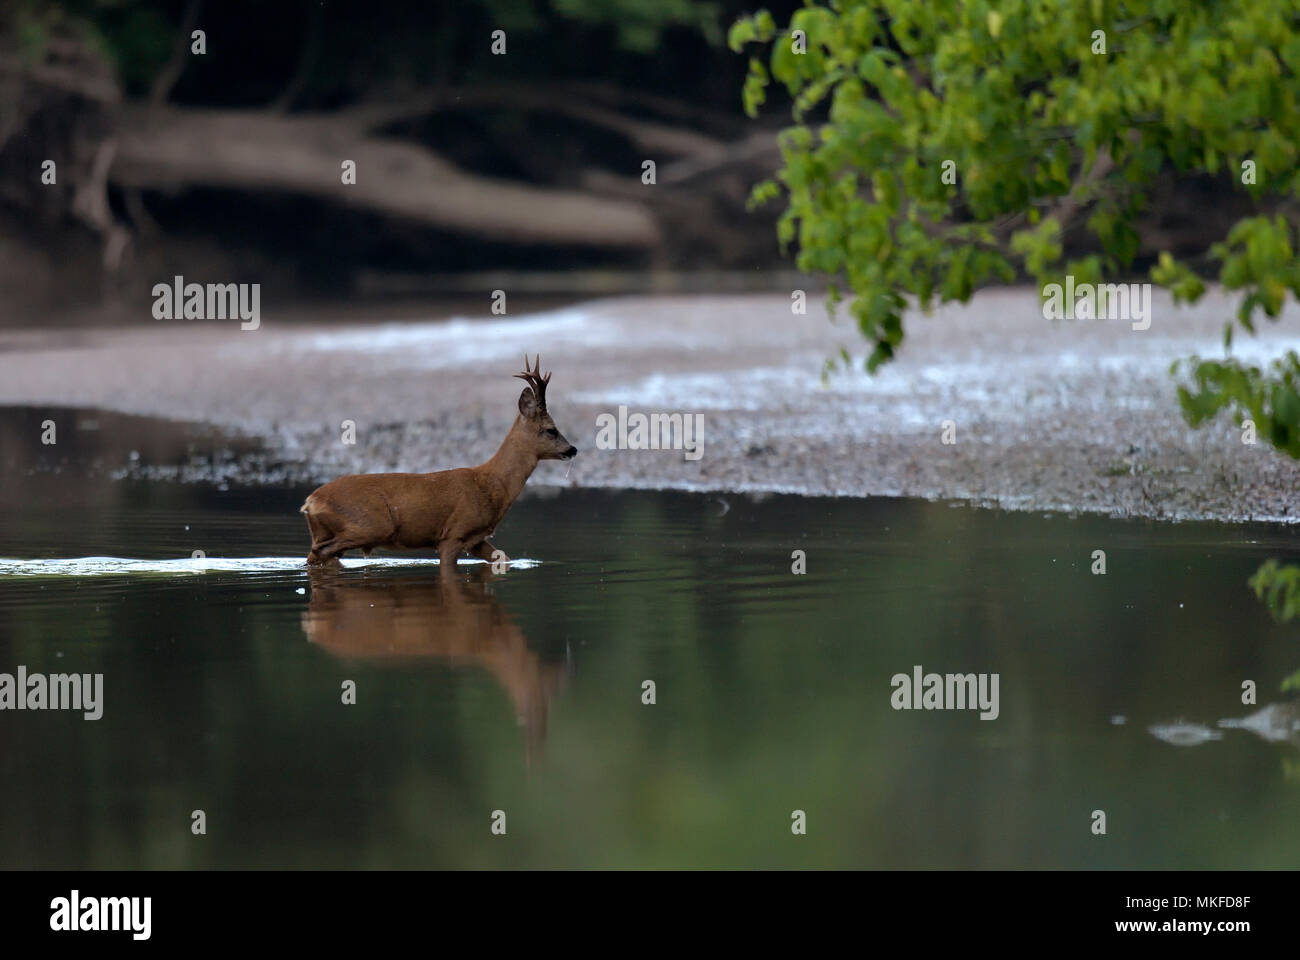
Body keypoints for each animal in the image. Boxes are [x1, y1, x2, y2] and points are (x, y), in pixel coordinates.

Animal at [301, 356, 576, 570]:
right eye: (551, 430)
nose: (573, 449)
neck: (490, 484)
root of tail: (311, 501)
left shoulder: (477, 539)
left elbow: (504, 559)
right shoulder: (453, 533)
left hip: (327, 530)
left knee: (316, 554)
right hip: (370, 525)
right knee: (322, 552)